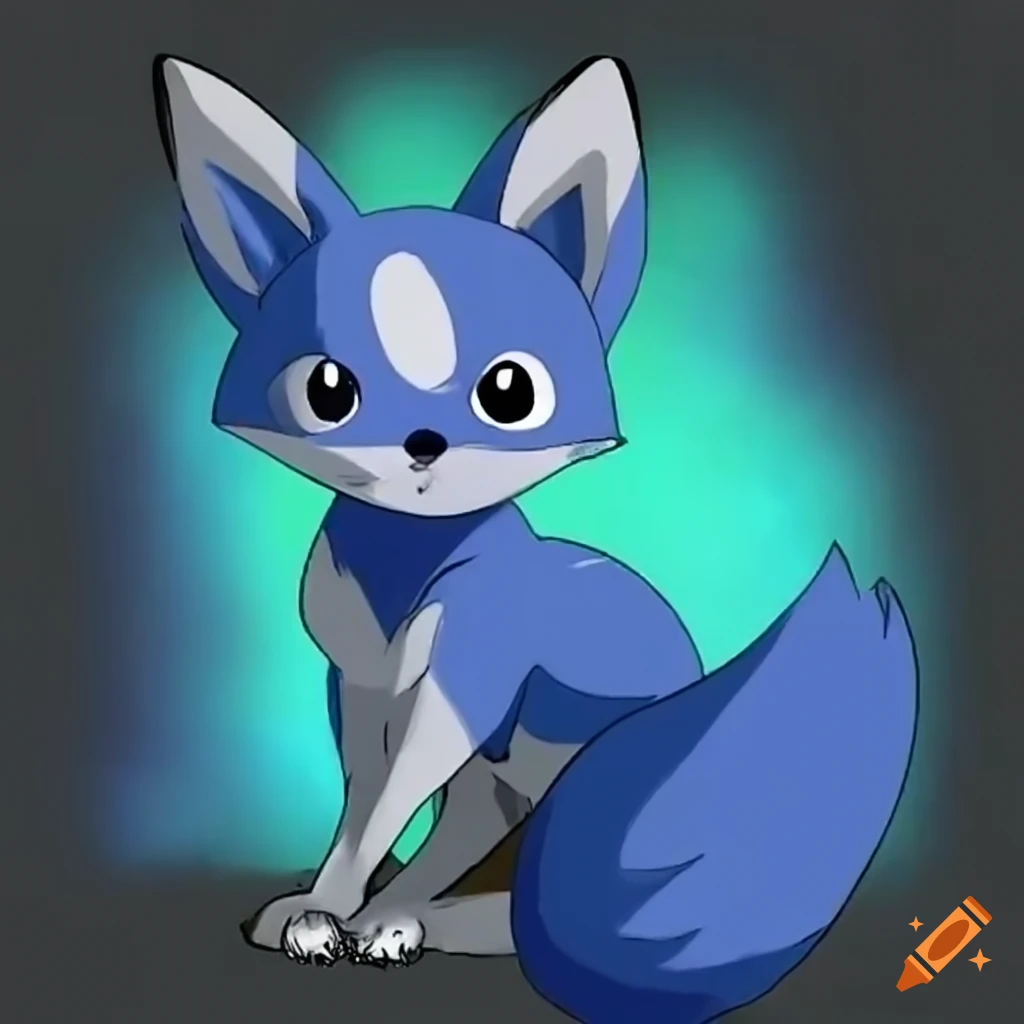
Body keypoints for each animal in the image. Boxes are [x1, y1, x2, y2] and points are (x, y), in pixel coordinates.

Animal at [152, 53, 919, 1024]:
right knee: (472, 836)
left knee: (497, 887)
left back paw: (416, 920)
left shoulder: (471, 671)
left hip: (546, 769)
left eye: (508, 393)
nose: (424, 445)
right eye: (329, 390)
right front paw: (328, 903)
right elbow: (367, 802)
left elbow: (395, 797)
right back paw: (405, 908)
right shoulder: (361, 681)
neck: (406, 558)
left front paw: (360, 907)